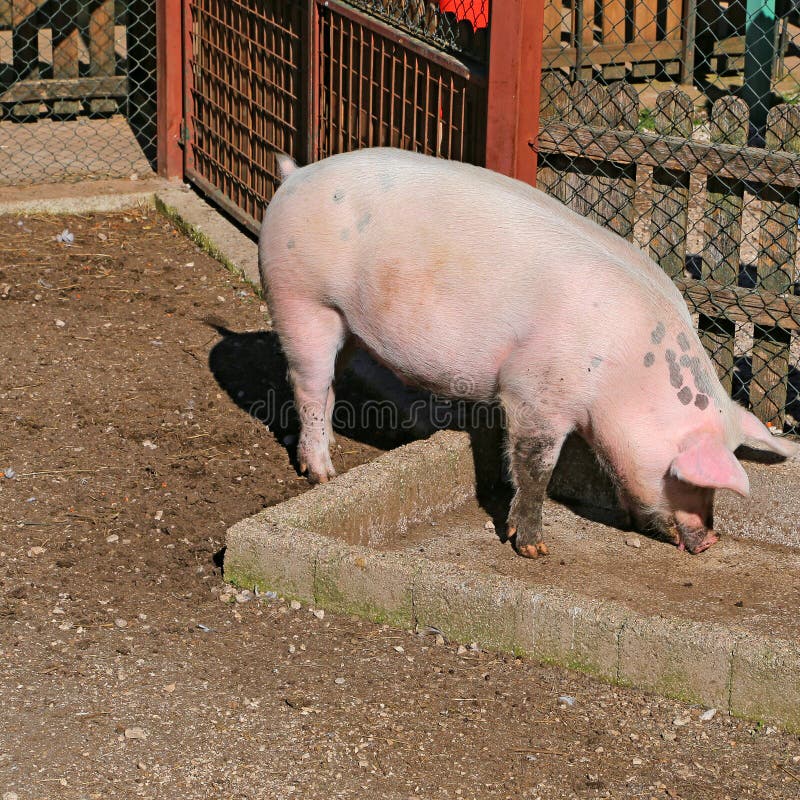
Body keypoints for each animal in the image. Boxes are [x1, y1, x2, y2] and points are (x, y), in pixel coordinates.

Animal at [258, 147, 797, 557]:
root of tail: (295, 175)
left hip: (345, 322)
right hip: (299, 296)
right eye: (692, 479)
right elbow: (535, 466)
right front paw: (533, 548)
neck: (625, 376)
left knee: (332, 380)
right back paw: (322, 474)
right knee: (306, 382)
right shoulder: (533, 389)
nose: (710, 540)